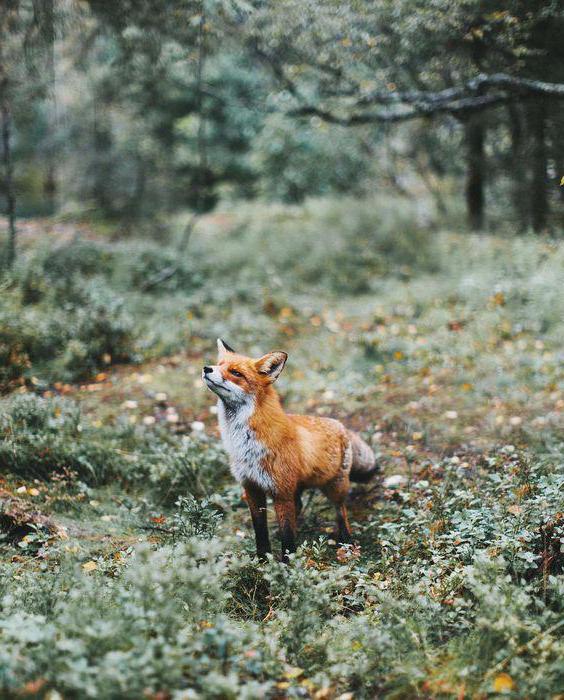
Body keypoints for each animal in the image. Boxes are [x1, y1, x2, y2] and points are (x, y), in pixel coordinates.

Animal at [203, 340, 378, 556]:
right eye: (219, 364)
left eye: (236, 373)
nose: (207, 368)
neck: (245, 445)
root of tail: (341, 425)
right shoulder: (251, 488)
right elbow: (261, 533)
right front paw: (262, 560)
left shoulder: (281, 492)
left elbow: (287, 538)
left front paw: (287, 563)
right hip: (299, 487)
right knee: (300, 506)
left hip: (336, 487)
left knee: (340, 511)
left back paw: (346, 540)